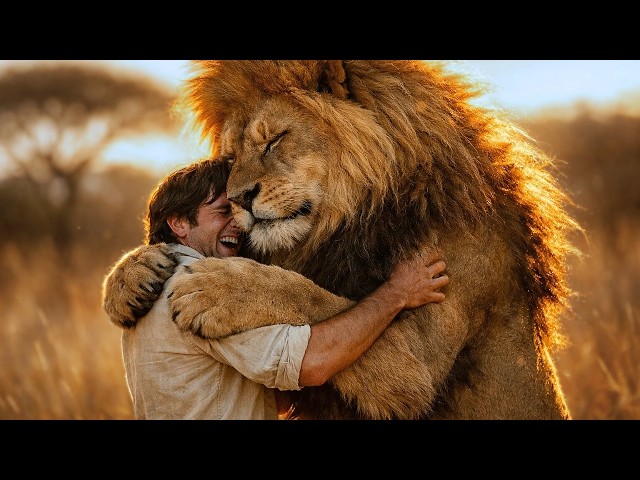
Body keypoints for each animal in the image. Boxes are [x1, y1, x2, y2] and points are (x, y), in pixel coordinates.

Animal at [103, 60, 580, 420]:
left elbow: (316, 297)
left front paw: (218, 289)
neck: (355, 219)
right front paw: (128, 277)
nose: (239, 198)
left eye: (274, 139)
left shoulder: (417, 365)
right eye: (231, 157)